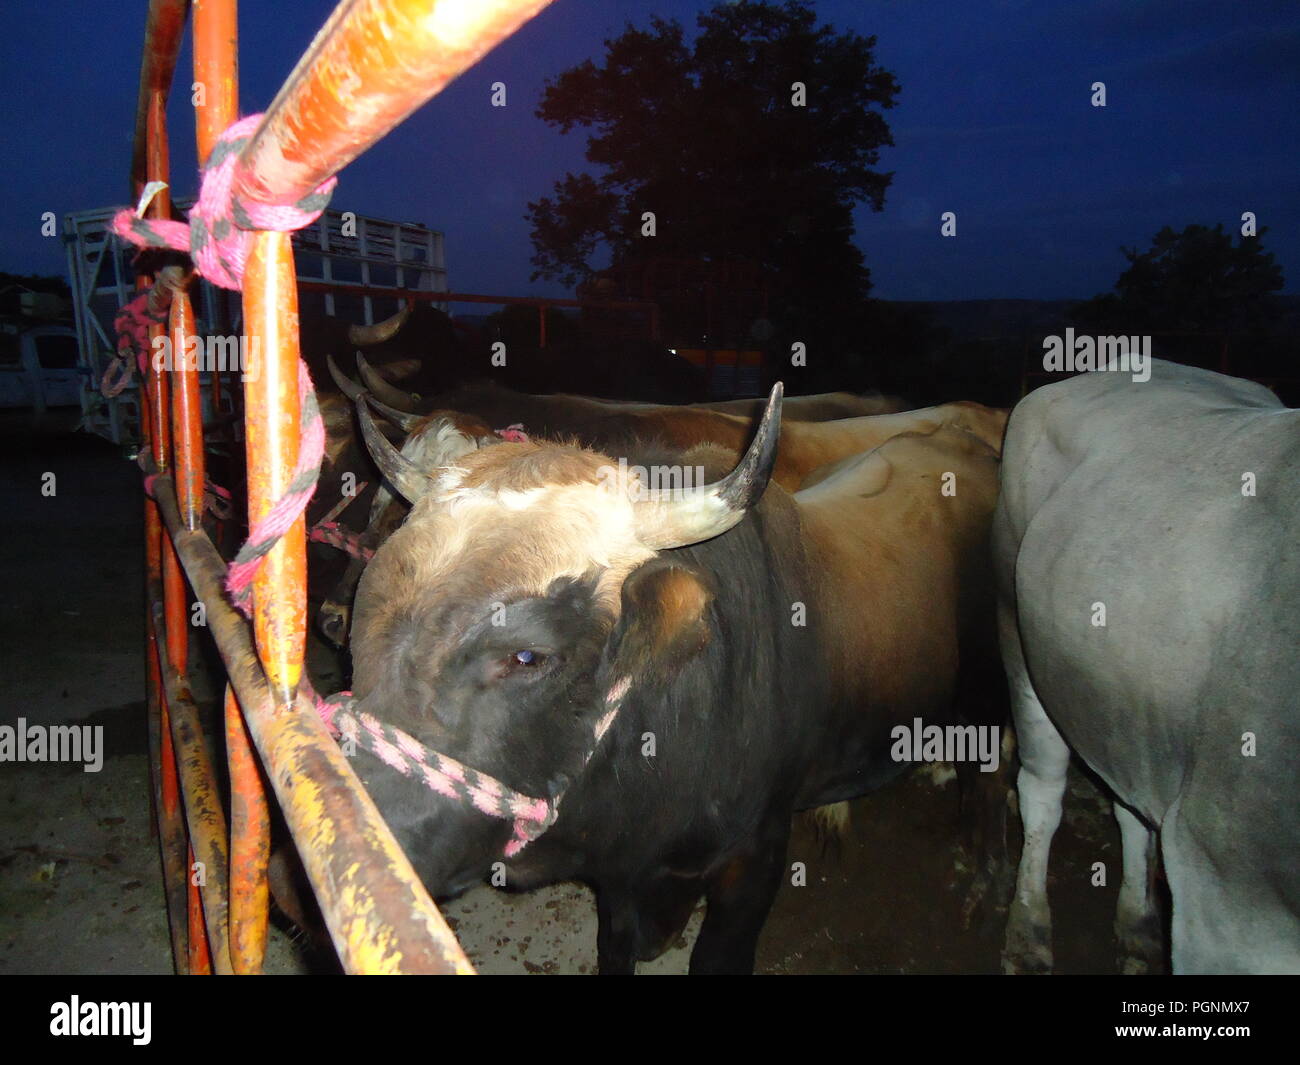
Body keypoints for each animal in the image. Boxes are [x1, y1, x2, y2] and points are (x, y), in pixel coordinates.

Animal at [340, 384, 1008, 972]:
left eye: (528, 656)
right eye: (367, 613)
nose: (370, 846)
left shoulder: (756, 859)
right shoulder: (621, 884)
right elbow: (614, 948)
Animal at [995, 359, 1299, 975]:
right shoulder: (1223, 893)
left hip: (1124, 709)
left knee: (1130, 808)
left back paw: (1136, 922)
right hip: (1019, 634)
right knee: (1042, 790)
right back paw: (1029, 929)